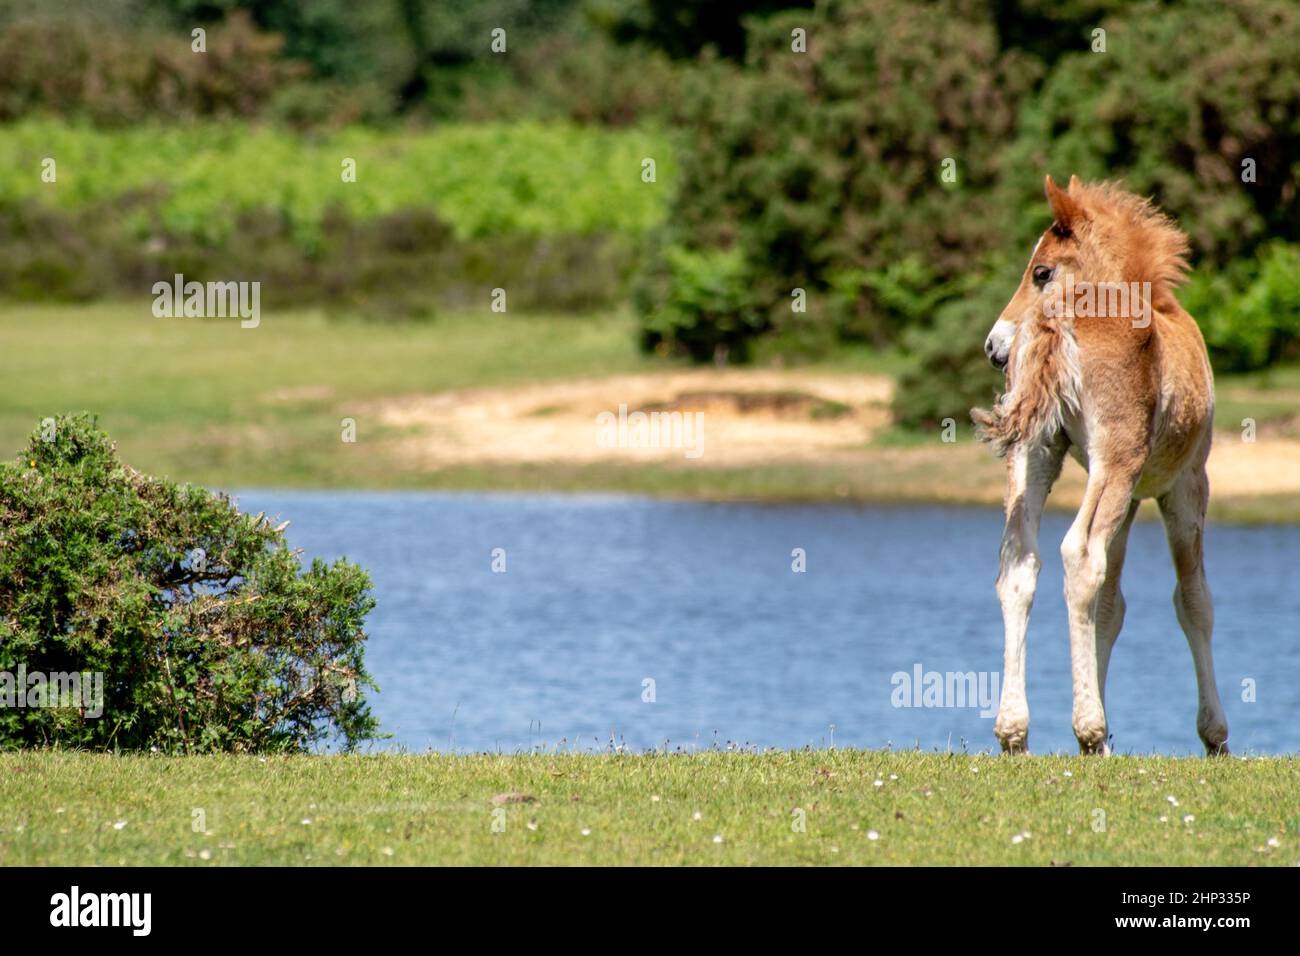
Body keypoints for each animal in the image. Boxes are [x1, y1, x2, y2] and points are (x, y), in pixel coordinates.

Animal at [972, 175, 1229, 756]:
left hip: (1036, 455)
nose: (995, 348)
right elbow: (1194, 600)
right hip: (1118, 462)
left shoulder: (1130, 498)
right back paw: (1088, 730)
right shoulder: (1186, 484)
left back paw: (1015, 732)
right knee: (1080, 554)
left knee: (1019, 561)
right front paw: (1216, 736)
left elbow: (1111, 608)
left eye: (1041, 270)